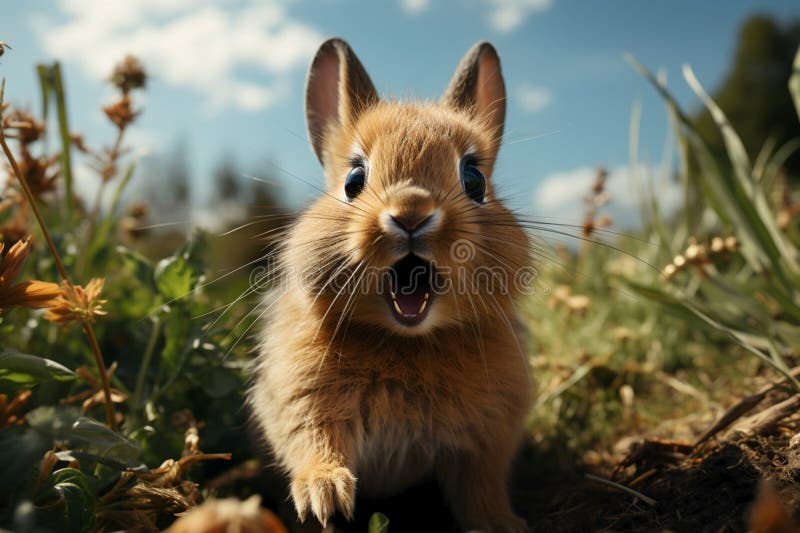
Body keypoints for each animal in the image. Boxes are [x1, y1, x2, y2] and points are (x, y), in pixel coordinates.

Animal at [249, 37, 533, 532]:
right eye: (353, 180)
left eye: (474, 179)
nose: (411, 213)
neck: (404, 340)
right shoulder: (301, 401)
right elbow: (313, 443)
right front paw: (325, 496)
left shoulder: (487, 442)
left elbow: (481, 490)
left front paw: (503, 524)